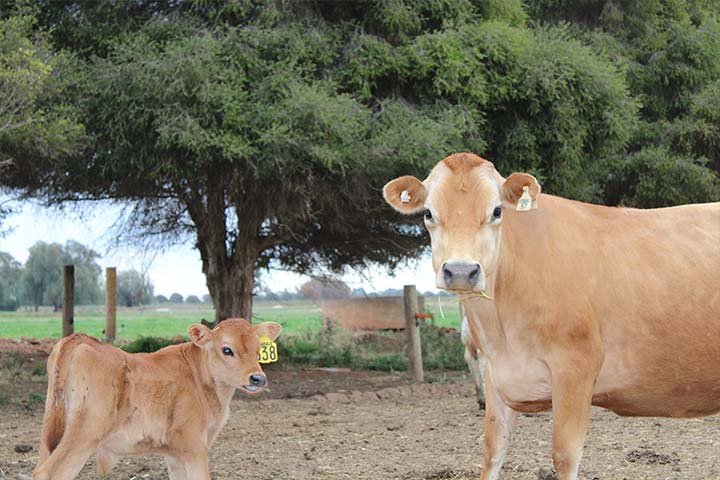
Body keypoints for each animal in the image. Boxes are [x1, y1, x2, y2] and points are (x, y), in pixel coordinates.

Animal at [33, 318, 282, 480]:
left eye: (259, 349)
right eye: (227, 350)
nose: (258, 378)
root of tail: (78, 338)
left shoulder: (175, 455)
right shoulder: (194, 445)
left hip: (51, 430)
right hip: (86, 432)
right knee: (49, 473)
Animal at [383, 152, 720, 480]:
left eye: (497, 211)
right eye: (428, 213)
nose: (462, 271)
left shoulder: (575, 369)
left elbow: (564, 456)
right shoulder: (496, 373)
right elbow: (492, 452)